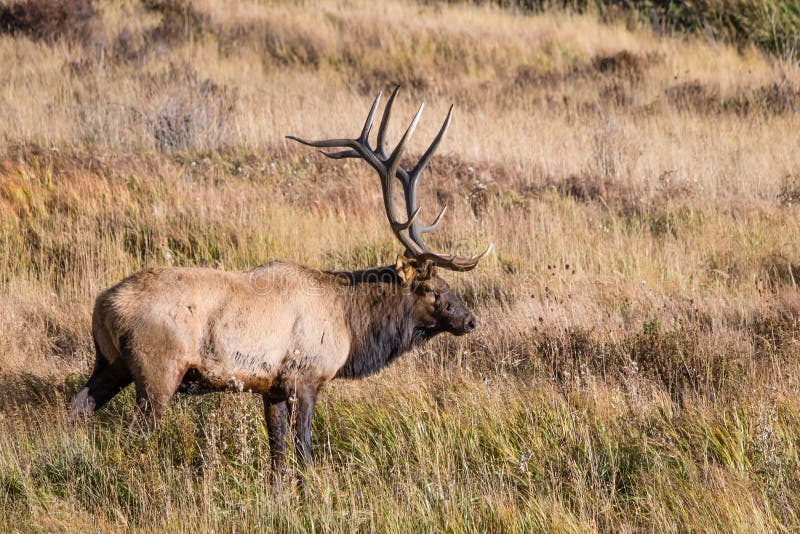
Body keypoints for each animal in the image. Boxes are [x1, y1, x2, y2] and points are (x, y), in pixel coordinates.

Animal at [70, 87, 491, 480]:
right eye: (432, 289)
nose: (470, 320)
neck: (350, 325)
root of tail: (103, 305)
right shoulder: (305, 378)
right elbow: (303, 450)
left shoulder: (271, 387)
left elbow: (277, 453)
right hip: (157, 369)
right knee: (136, 430)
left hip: (111, 362)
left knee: (77, 407)